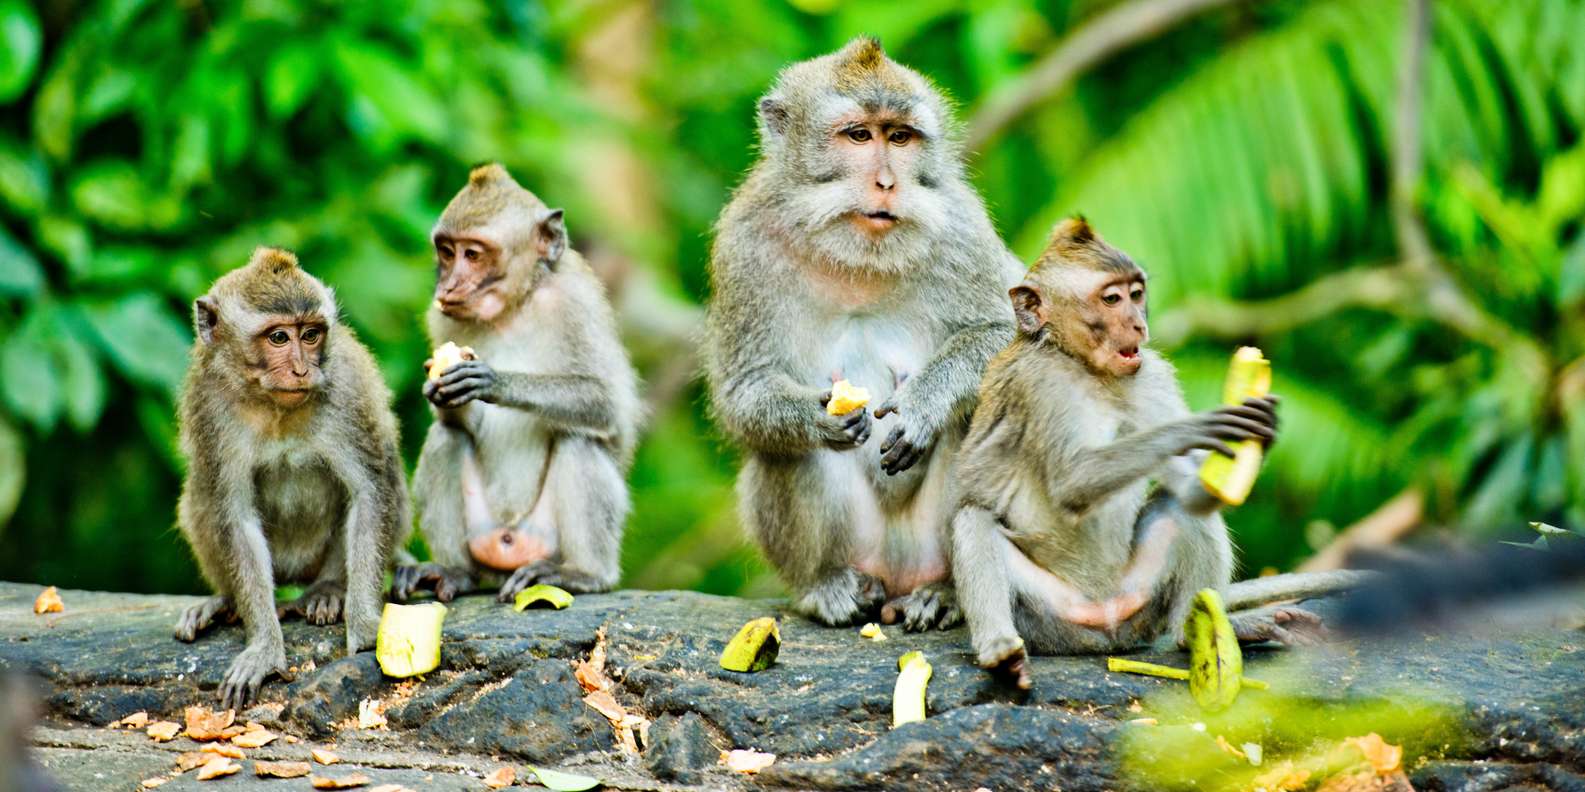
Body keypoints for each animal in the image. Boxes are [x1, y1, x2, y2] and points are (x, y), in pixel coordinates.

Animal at [173, 247, 409, 709]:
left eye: (311, 334)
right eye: (279, 338)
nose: (302, 369)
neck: (272, 404)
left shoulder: (345, 389)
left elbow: (370, 493)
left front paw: (365, 625)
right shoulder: (210, 405)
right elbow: (235, 516)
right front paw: (264, 647)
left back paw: (328, 590)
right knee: (200, 496)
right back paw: (223, 600)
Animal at [391, 164, 641, 605]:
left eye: (473, 254)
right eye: (446, 251)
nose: (447, 286)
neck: (513, 309)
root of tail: (509, 544)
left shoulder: (575, 304)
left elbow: (605, 404)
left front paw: (493, 381)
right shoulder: (441, 319)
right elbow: (452, 423)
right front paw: (440, 392)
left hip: (544, 537)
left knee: (579, 439)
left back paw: (584, 574)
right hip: (484, 535)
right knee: (446, 439)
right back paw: (455, 572)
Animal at [703, 38, 1026, 629]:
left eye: (899, 137)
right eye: (858, 135)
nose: (887, 183)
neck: (857, 258)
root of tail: (897, 574)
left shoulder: (962, 227)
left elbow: (1009, 335)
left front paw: (923, 404)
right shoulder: (744, 243)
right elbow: (744, 391)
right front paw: (816, 417)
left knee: (980, 418)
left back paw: (946, 592)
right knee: (783, 452)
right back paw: (826, 586)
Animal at [950, 218, 1365, 688]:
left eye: (1136, 294)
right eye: (1111, 299)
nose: (1137, 326)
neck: (1083, 367)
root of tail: (1105, 624)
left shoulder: (1151, 375)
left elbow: (1191, 494)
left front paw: (1262, 431)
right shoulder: (1037, 384)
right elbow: (1072, 481)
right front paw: (1194, 429)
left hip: (1141, 600)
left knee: (1178, 510)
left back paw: (1202, 630)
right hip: (1048, 616)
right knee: (974, 519)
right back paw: (1002, 651)